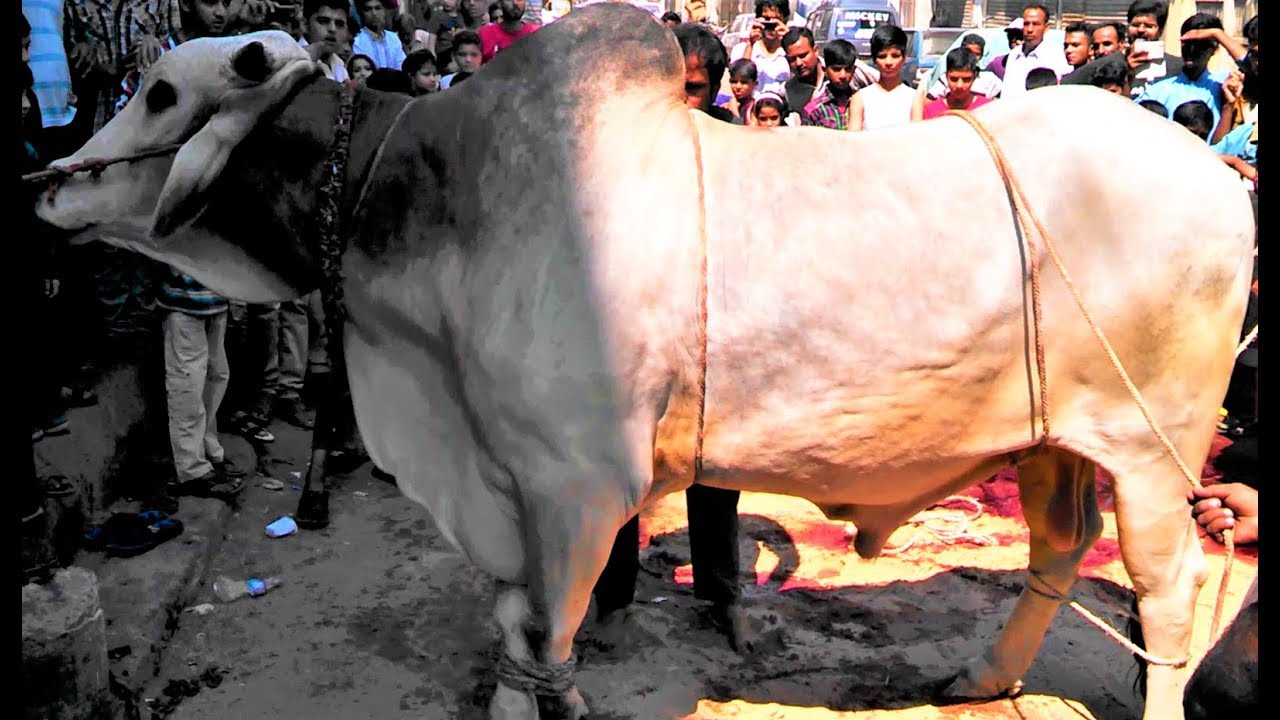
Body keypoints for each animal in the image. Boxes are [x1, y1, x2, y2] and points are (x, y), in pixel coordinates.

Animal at [33, 6, 1254, 720]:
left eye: (158, 91)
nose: (47, 181)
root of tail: (1213, 175)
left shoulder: (572, 487)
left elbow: (543, 635)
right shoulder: (507, 487)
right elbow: (518, 630)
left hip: (1156, 453)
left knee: (1170, 590)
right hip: (1055, 440)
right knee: (1060, 550)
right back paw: (982, 680)